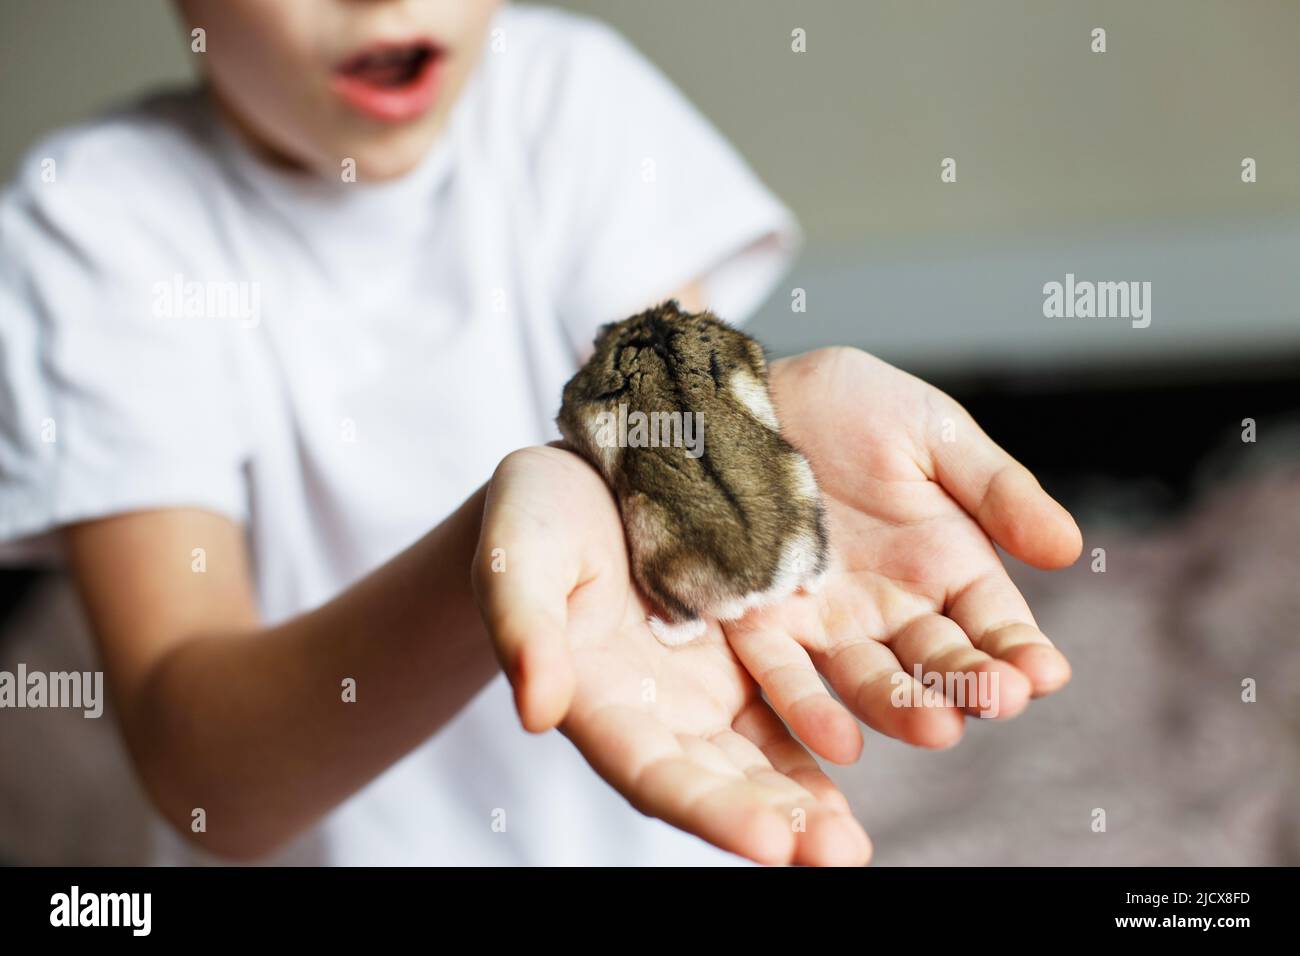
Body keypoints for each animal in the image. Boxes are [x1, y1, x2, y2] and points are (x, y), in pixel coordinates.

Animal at [556, 300, 830, 646]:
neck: (653, 332)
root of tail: (764, 580)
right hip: (808, 503)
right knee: (817, 576)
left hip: (655, 568)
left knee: (692, 624)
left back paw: (656, 626)